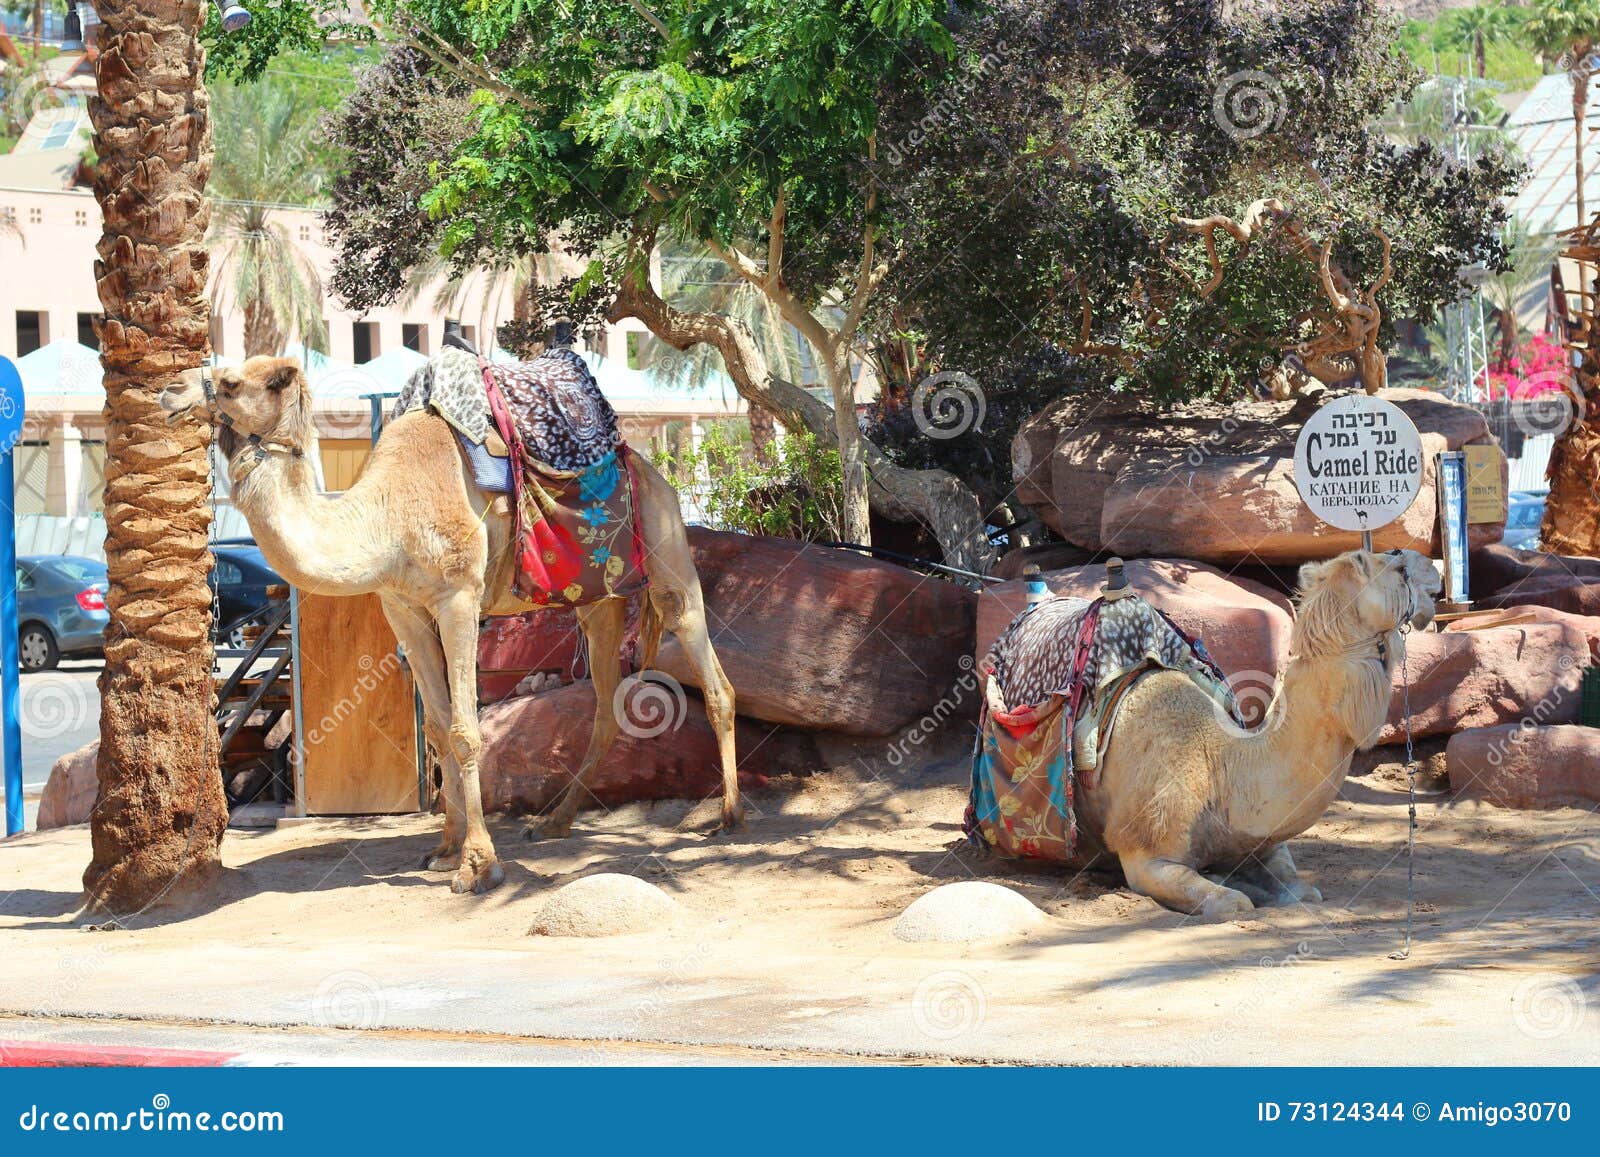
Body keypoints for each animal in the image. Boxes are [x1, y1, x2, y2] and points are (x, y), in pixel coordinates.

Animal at [160, 355, 740, 895]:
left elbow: (465, 731)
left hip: (667, 552)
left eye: (232, 382)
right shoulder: (403, 608)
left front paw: (479, 865)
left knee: (713, 678)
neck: (385, 518)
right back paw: (554, 821)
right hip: (599, 602)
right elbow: (437, 731)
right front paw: (445, 849)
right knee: (605, 704)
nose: (170, 390)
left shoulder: (459, 597)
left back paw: (729, 816)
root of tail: (648, 465)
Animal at [1074, 548, 1440, 920]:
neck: (1221, 768)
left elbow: (1302, 890)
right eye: (1398, 568)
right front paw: (1230, 885)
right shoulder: (1145, 854)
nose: (1431, 569)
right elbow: (1232, 902)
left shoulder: (1263, 842)